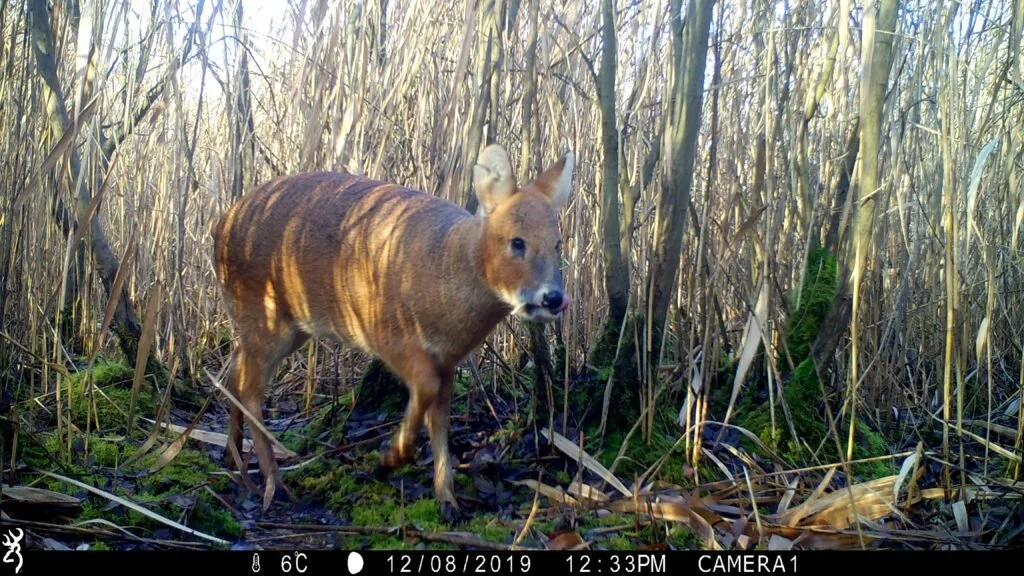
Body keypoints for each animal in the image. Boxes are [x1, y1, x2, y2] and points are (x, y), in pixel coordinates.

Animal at [212, 144, 574, 520]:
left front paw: (447, 498)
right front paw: (390, 458)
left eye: (558, 243)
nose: (553, 297)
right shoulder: (387, 332)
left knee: (236, 368)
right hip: (263, 313)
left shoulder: (447, 359)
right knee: (250, 389)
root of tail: (221, 224)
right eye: (517, 242)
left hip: (289, 326)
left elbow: (440, 421)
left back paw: (233, 455)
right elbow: (425, 390)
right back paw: (273, 483)